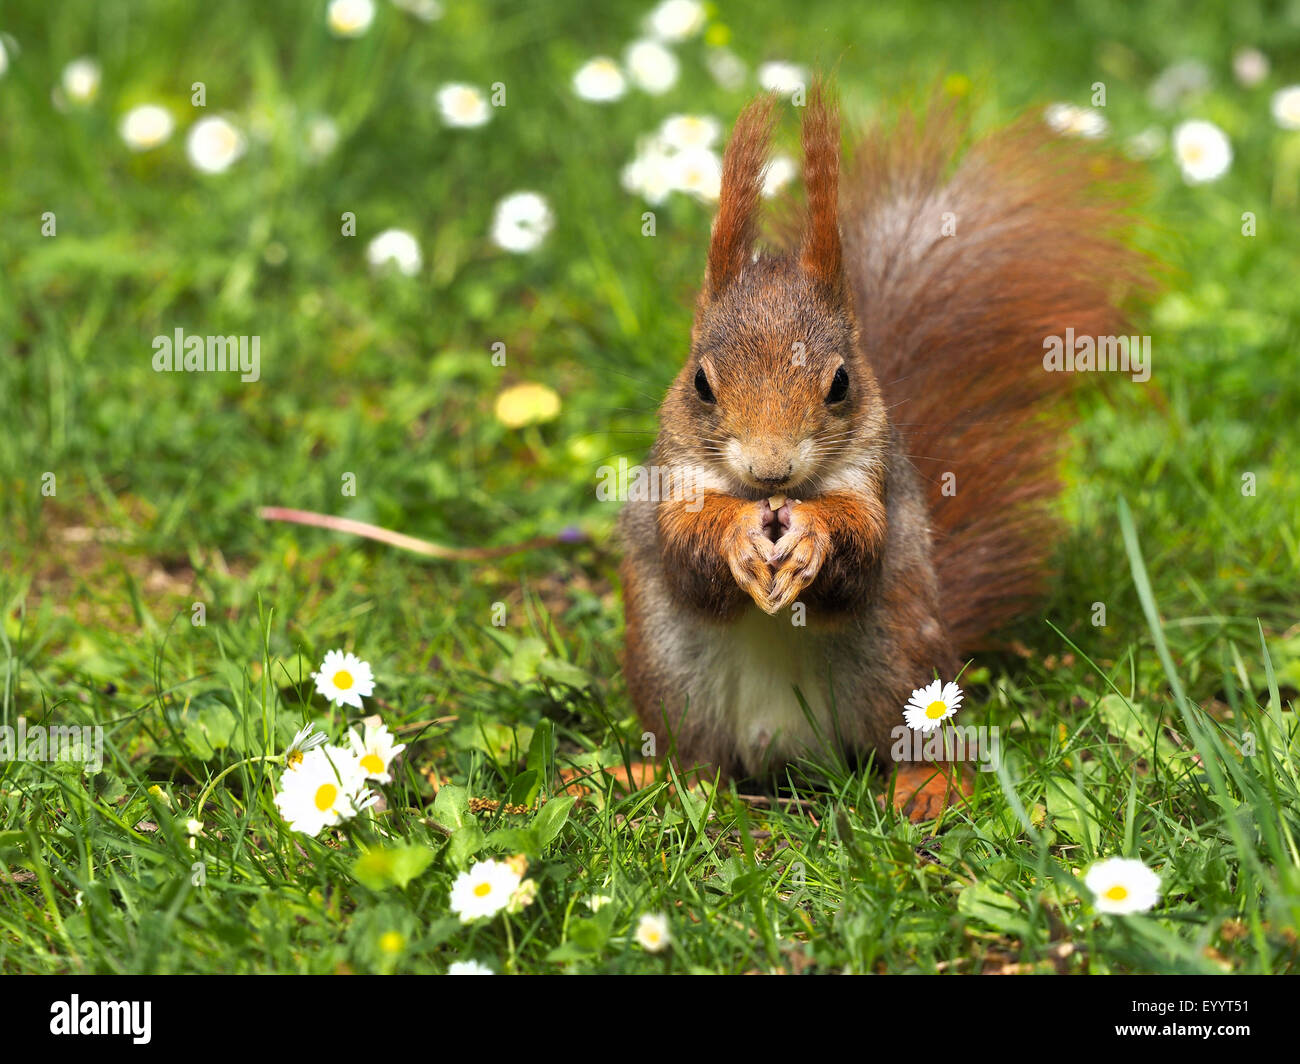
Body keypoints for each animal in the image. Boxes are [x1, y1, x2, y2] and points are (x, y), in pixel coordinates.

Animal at [618, 79, 1147, 819]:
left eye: (841, 382)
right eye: (700, 382)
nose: (771, 469)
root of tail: (785, 752)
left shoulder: (874, 480)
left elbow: (860, 548)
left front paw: (812, 537)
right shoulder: (673, 480)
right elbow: (687, 557)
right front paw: (734, 537)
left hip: (898, 659)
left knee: (912, 739)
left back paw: (926, 789)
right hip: (671, 675)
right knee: (694, 757)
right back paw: (653, 780)